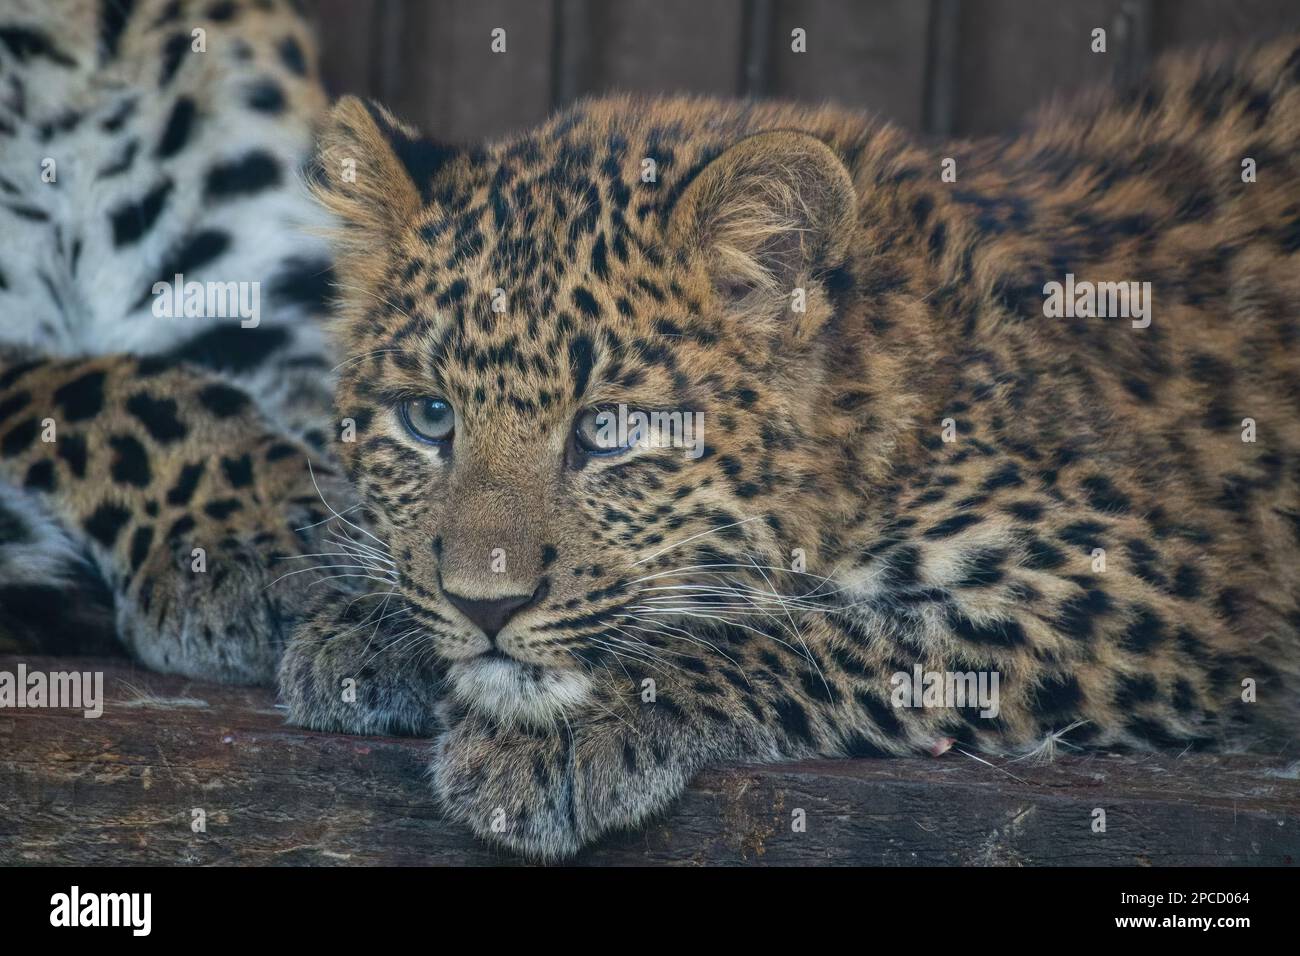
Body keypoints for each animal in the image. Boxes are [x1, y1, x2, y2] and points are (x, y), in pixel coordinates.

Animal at [2, 0, 1297, 863]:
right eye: (429, 415)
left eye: (615, 428)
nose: (483, 605)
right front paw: (370, 622)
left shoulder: (1137, 586)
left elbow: (824, 627)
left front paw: (561, 725)